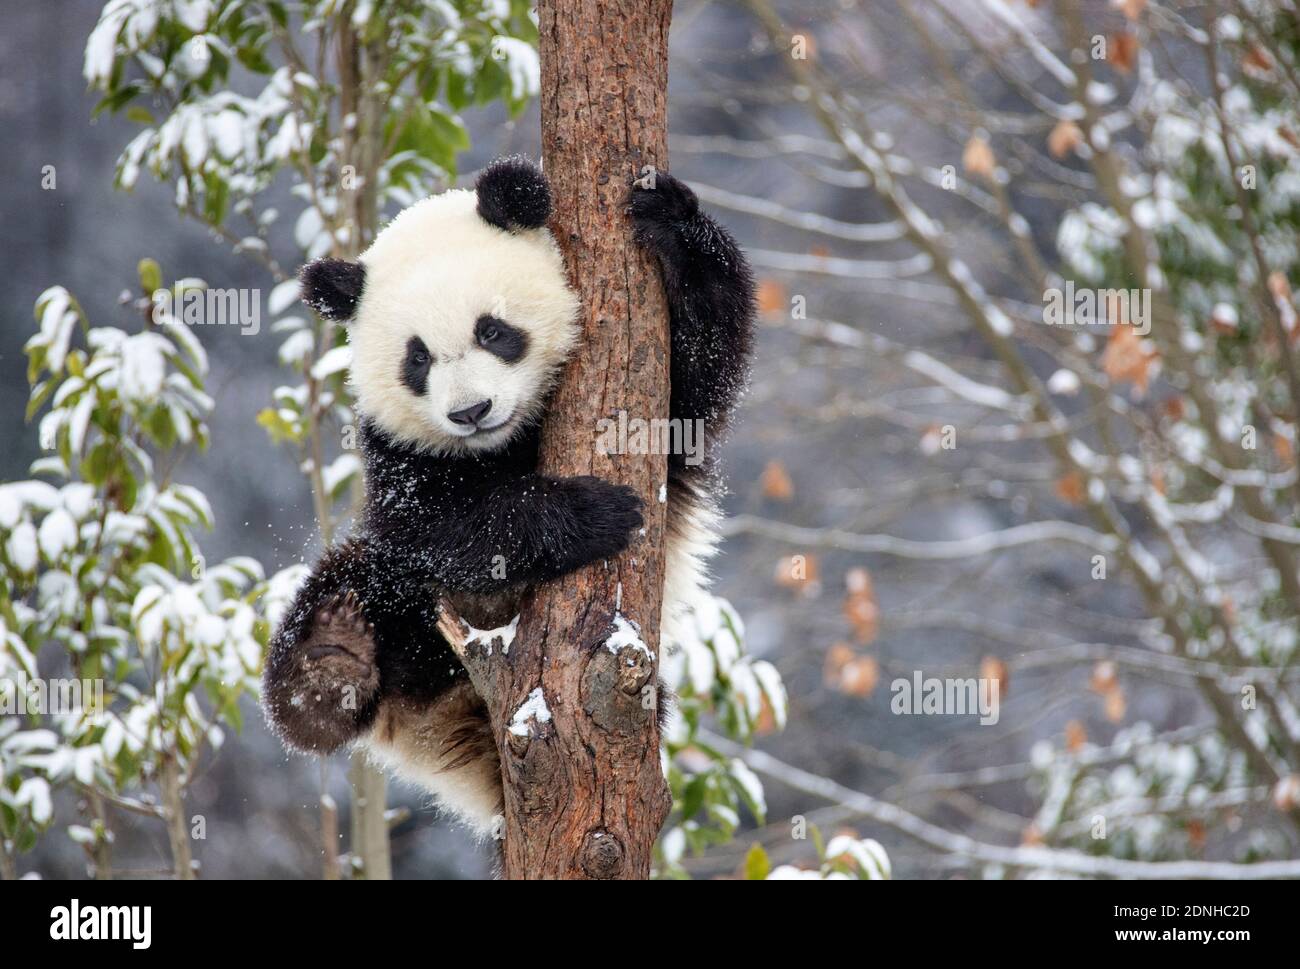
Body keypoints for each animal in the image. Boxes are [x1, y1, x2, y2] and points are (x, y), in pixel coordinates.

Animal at [262, 155, 754, 836]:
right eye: (417, 359)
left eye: (493, 331)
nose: (471, 411)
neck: (506, 443)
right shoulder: (395, 453)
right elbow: (439, 526)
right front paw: (595, 514)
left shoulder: (670, 404)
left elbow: (703, 361)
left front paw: (666, 213)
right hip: (403, 606)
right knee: (347, 598)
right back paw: (328, 664)